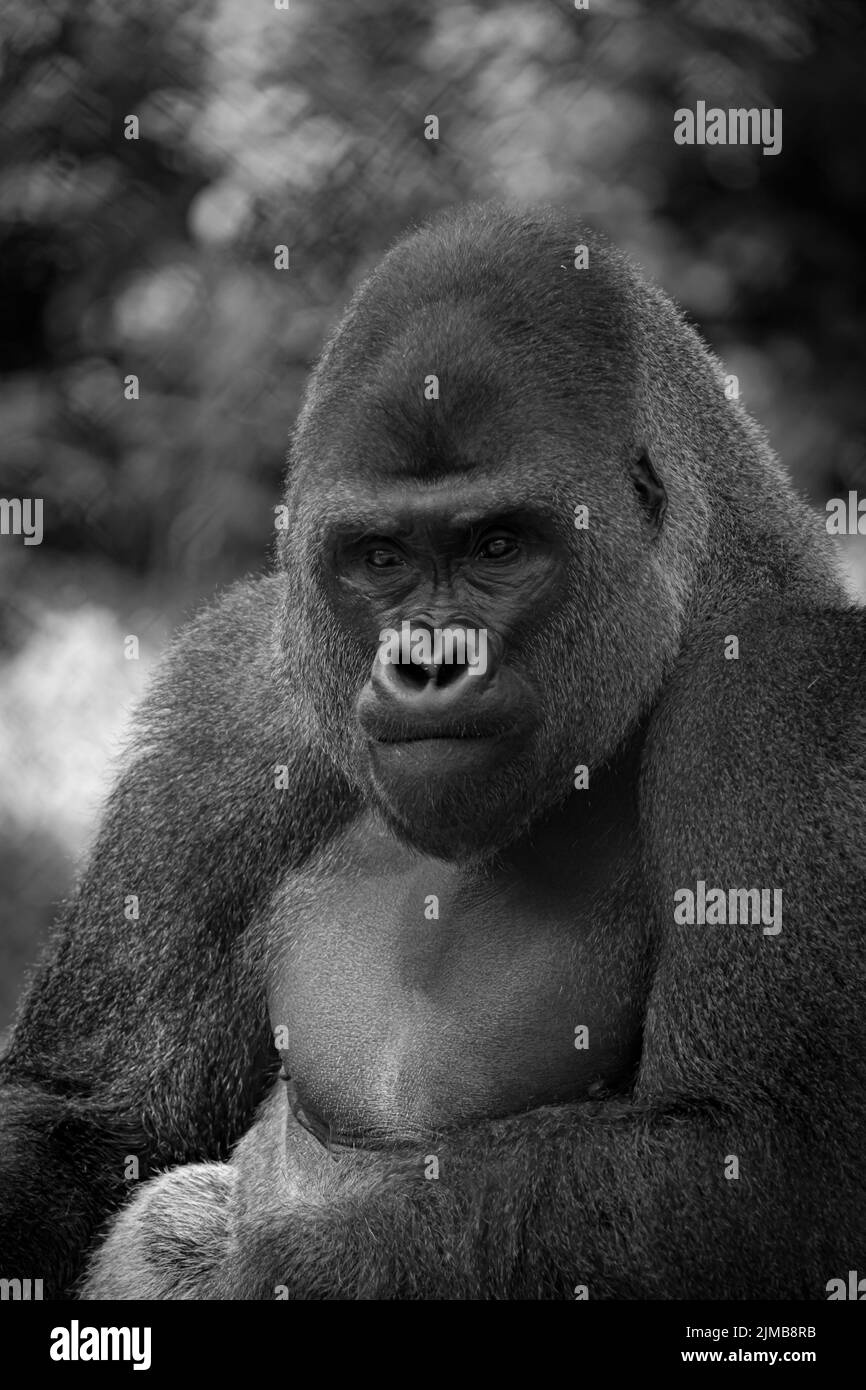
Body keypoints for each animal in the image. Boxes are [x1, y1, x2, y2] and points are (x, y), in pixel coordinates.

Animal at [1, 203, 864, 1300]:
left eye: (498, 546)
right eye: (380, 557)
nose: (427, 663)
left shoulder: (788, 705)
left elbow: (753, 1168)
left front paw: (238, 1259)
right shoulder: (234, 706)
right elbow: (92, 1117)